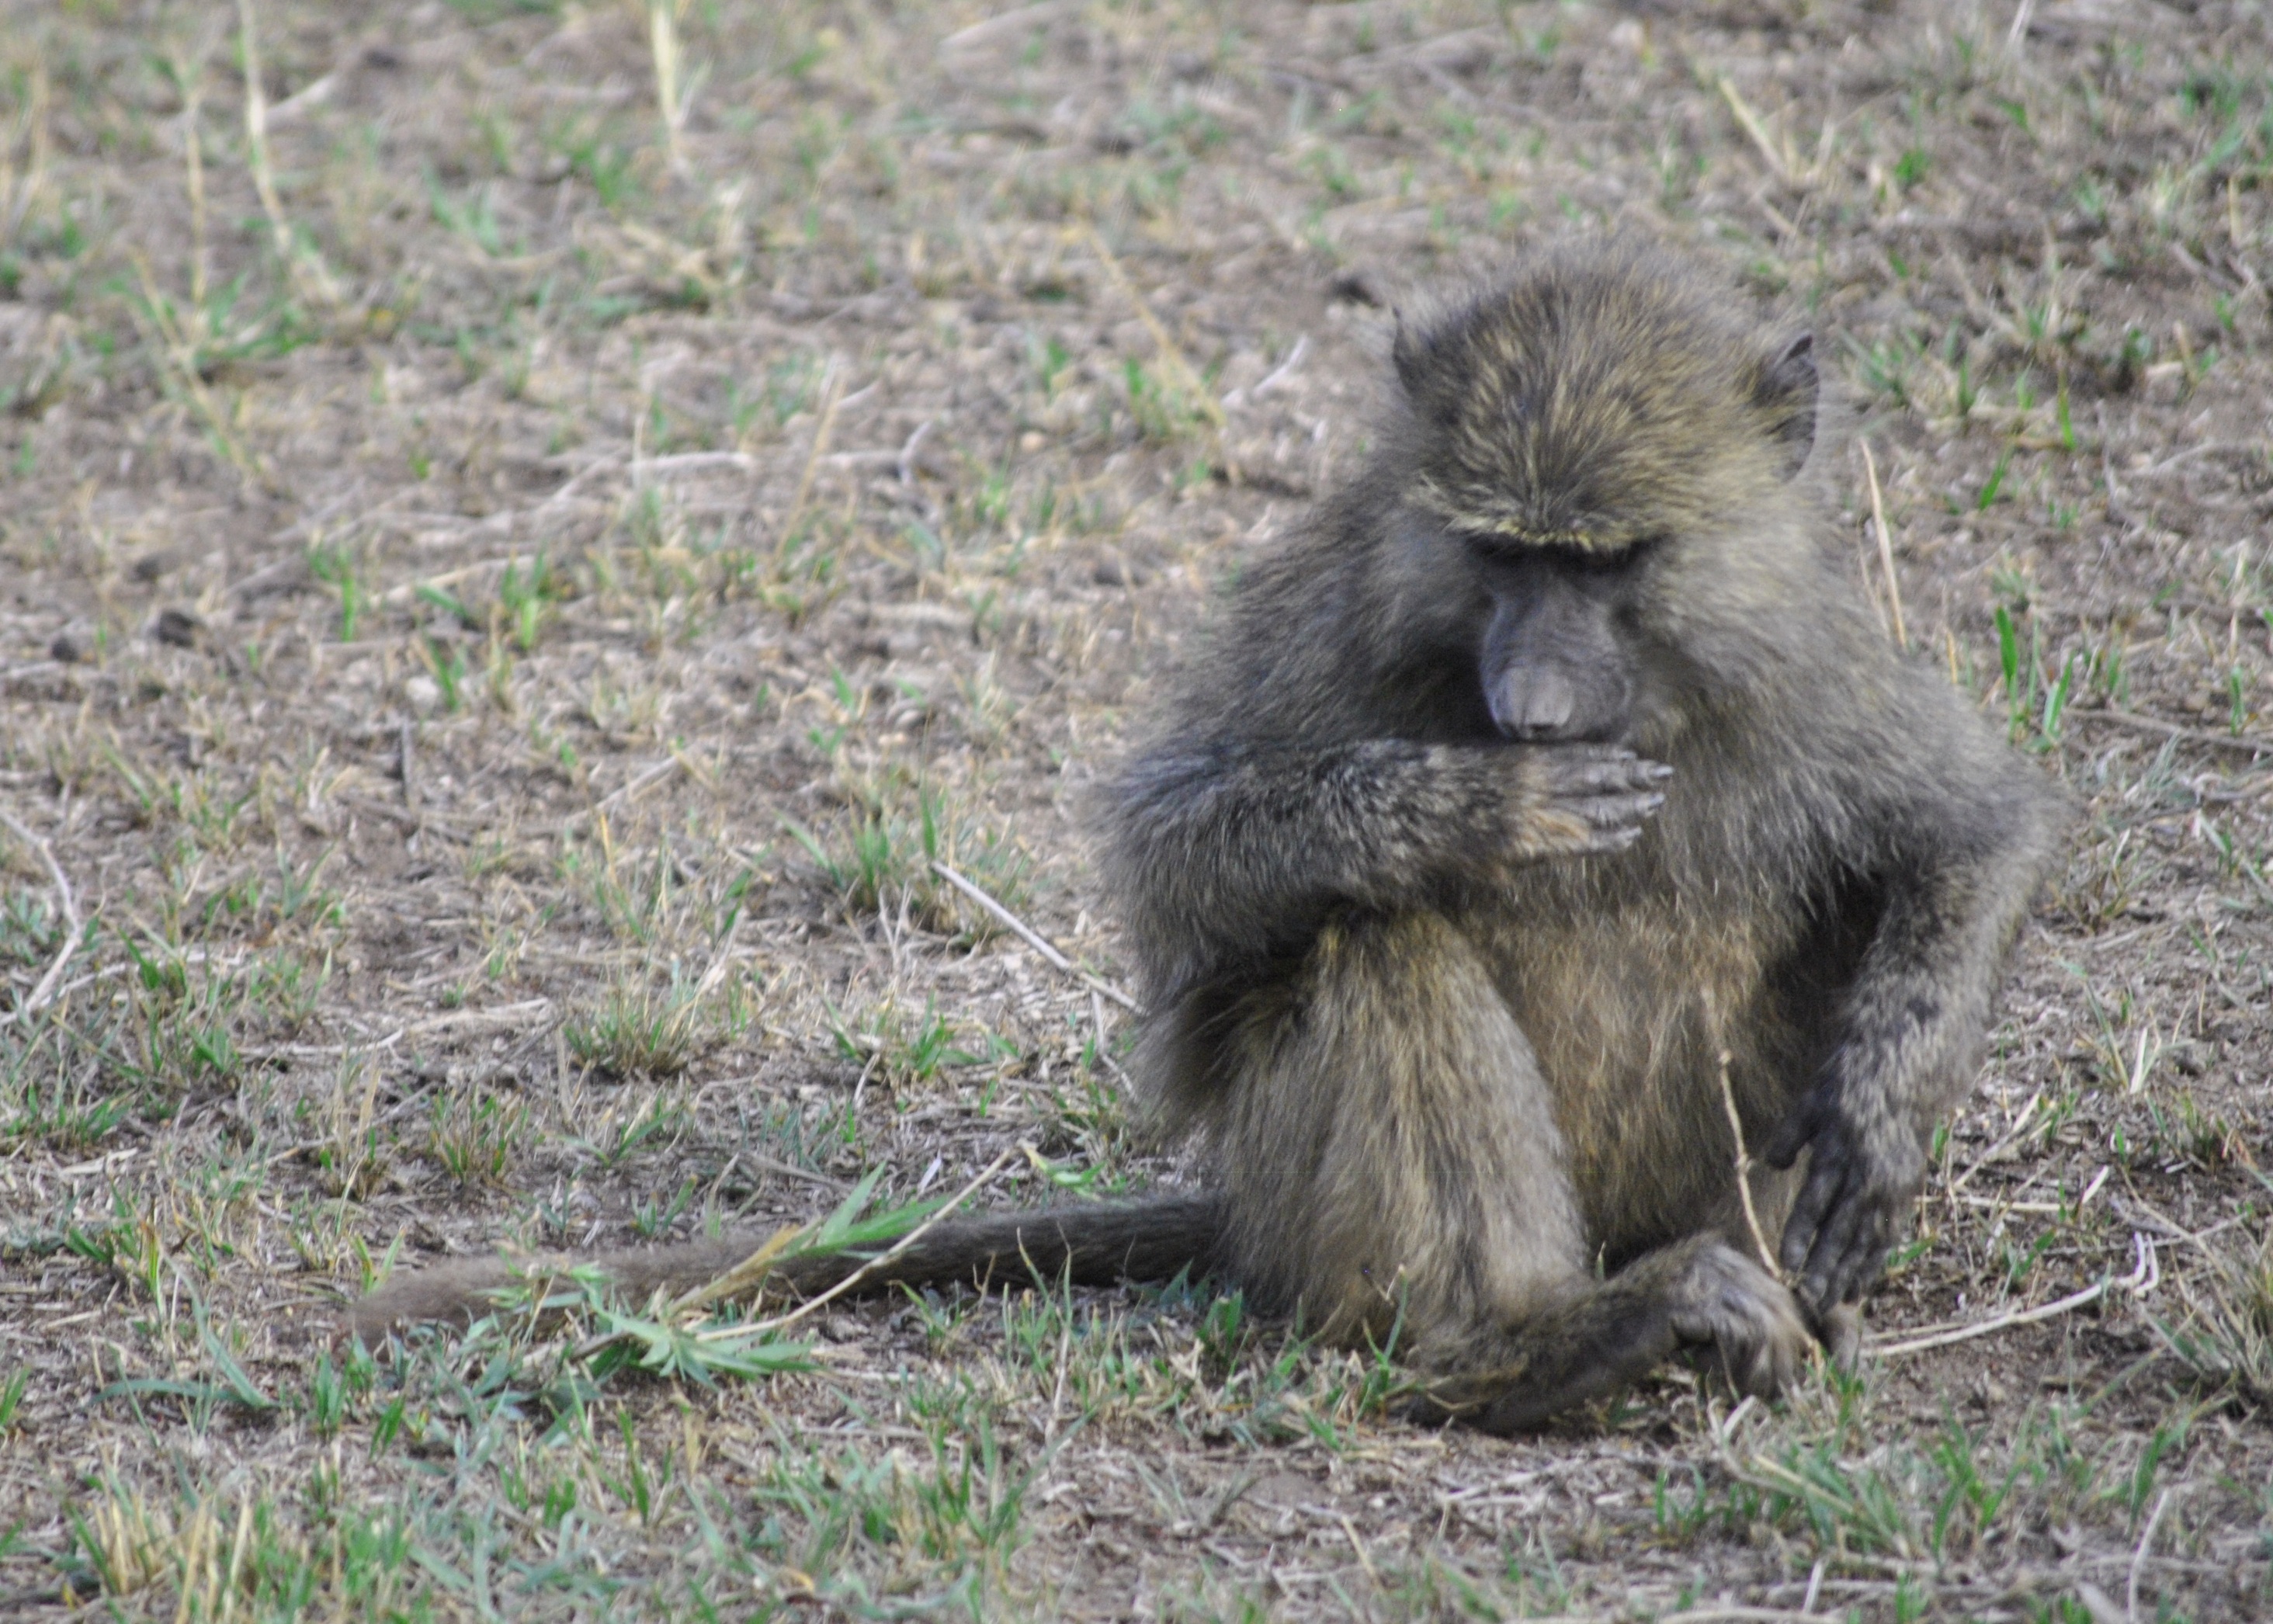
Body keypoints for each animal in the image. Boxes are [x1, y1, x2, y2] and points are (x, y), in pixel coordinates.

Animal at [350, 240, 2059, 1433]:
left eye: (1610, 558)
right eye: (1497, 554)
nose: (1529, 707)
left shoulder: (1812, 672)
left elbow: (1965, 829)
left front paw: (1881, 1118)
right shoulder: (1333, 617)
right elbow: (1175, 857)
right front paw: (1462, 810)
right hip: (1330, 1202)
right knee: (1376, 935)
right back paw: (1530, 1343)